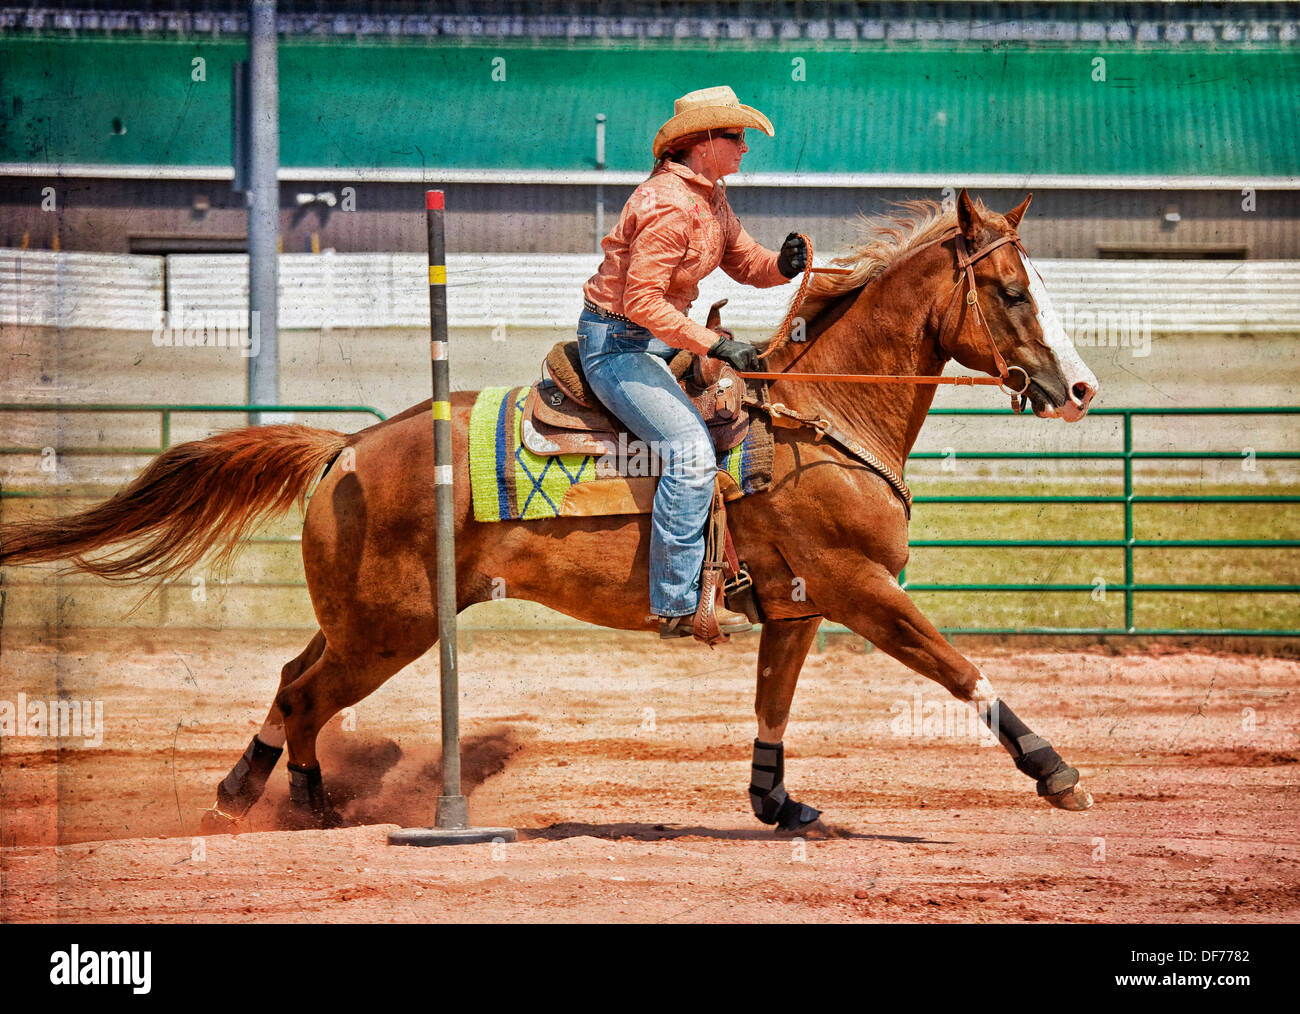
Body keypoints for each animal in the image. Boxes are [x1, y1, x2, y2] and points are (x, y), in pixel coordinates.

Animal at [0, 190, 1099, 831]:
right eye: (1010, 290)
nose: (1080, 390)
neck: (819, 414)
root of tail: (348, 448)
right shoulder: (861, 589)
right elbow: (961, 671)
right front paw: (1055, 772)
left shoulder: (797, 605)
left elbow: (772, 703)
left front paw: (775, 800)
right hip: (391, 627)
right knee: (306, 691)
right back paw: (269, 801)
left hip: (367, 621)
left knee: (294, 682)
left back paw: (286, 793)